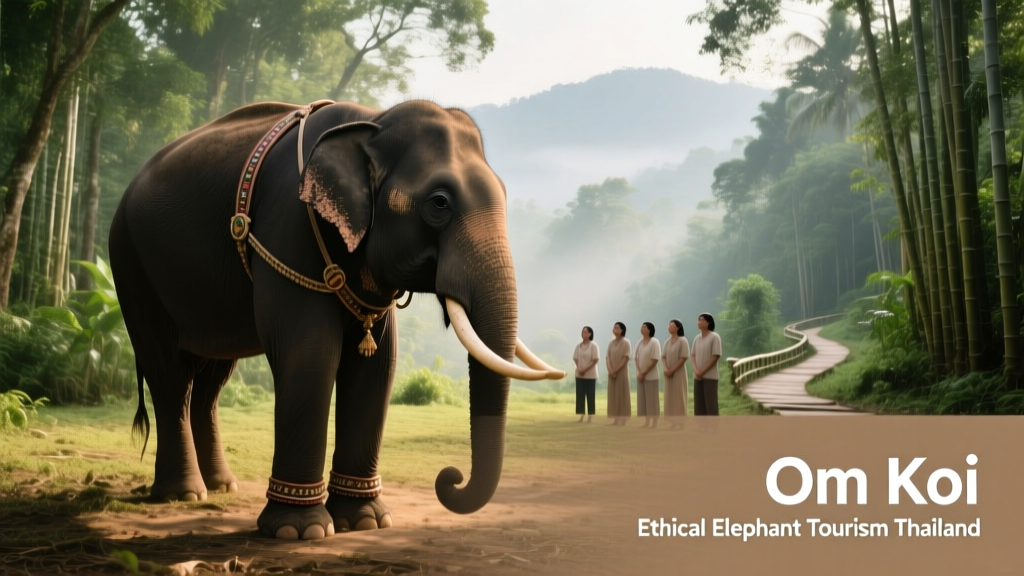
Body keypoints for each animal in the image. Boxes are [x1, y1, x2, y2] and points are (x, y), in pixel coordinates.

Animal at [108, 99, 563, 540]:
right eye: (439, 203)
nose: (449, 477)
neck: (372, 121)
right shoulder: (288, 228)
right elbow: (311, 354)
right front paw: (300, 530)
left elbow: (376, 365)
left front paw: (365, 522)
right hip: (130, 265)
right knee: (170, 375)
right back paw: (182, 494)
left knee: (212, 381)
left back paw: (222, 486)